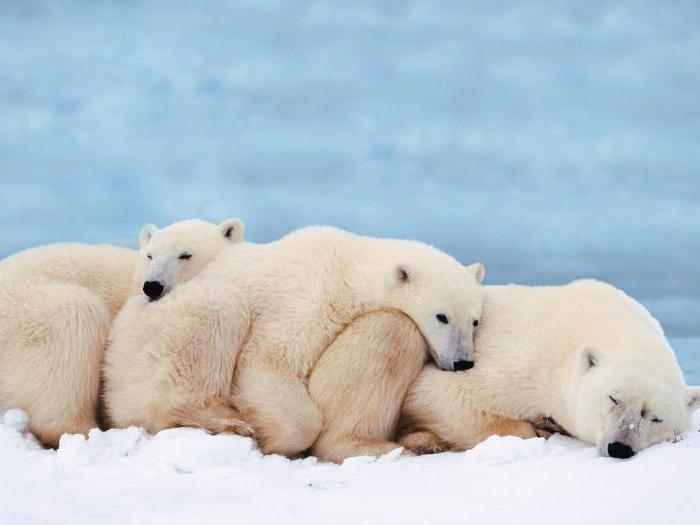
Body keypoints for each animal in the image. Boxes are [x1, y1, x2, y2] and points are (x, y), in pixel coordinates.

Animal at [104, 227, 486, 456]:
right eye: (441, 316)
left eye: (474, 320)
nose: (462, 362)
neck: (347, 267)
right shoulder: (307, 298)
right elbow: (268, 361)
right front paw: (274, 441)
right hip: (149, 341)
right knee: (219, 304)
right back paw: (225, 420)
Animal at [394, 280, 700, 456]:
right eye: (613, 398)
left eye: (656, 418)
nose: (620, 448)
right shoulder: (520, 360)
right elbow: (438, 393)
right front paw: (539, 428)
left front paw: (548, 423)